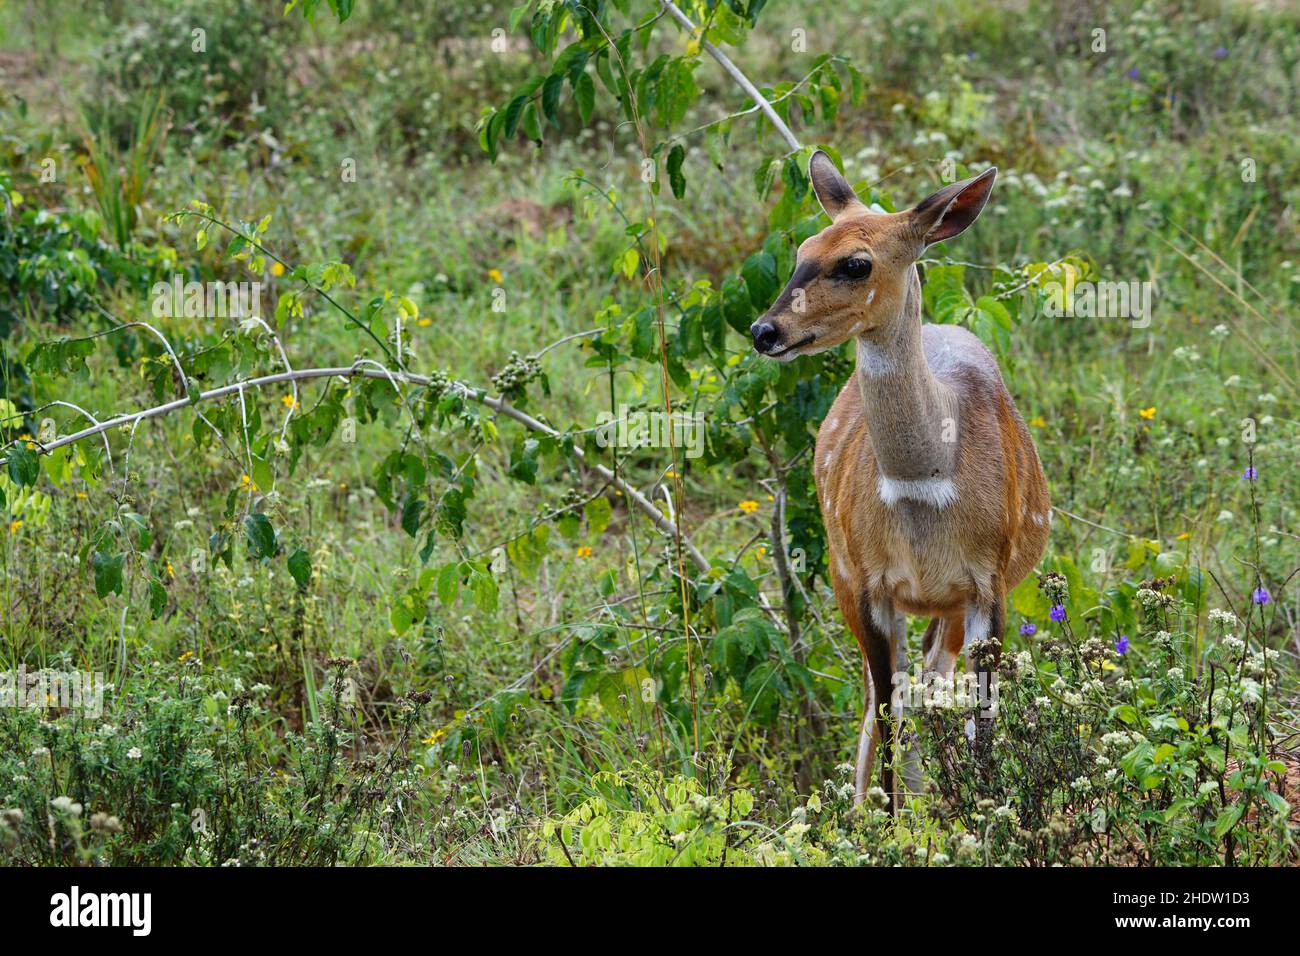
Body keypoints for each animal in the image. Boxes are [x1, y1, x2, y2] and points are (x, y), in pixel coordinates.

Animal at [750, 151, 1050, 806]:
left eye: (856, 263)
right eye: (802, 248)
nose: (764, 331)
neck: (924, 487)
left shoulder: (989, 583)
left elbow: (982, 721)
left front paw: (984, 811)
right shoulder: (868, 584)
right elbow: (886, 710)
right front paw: (887, 818)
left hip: (951, 606)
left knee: (932, 680)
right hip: (846, 573)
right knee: (883, 698)